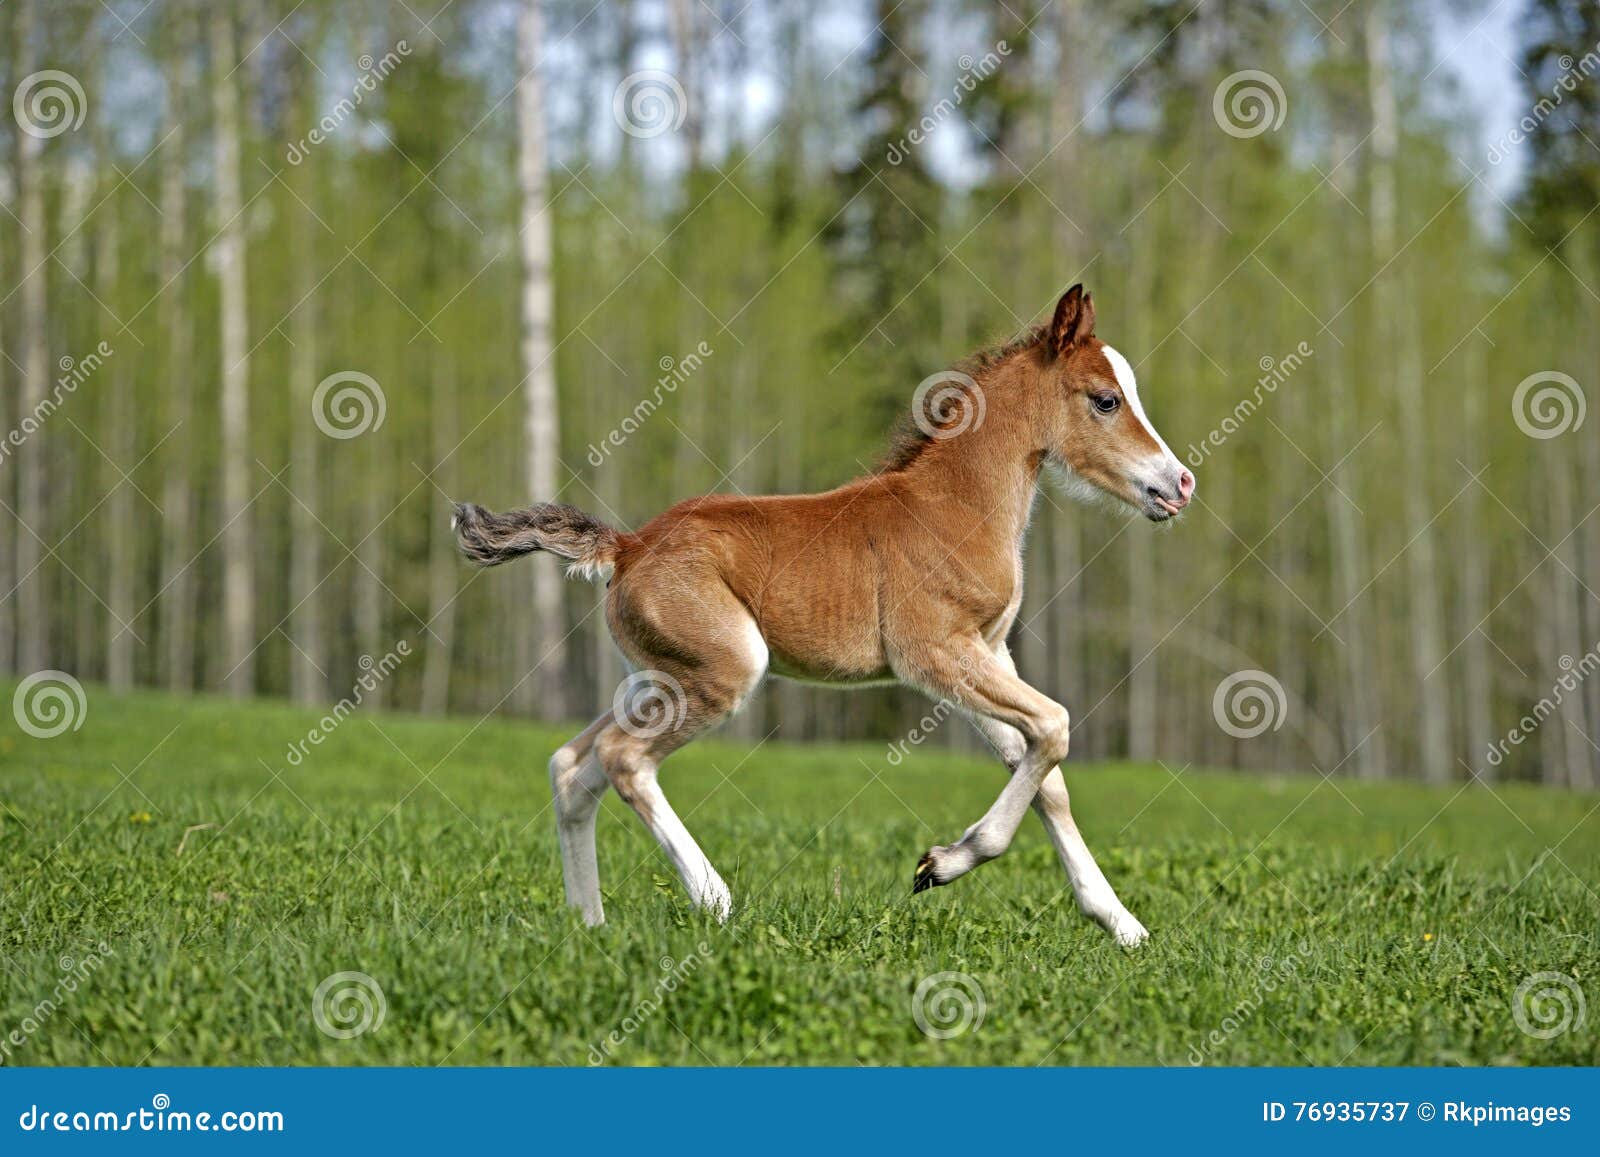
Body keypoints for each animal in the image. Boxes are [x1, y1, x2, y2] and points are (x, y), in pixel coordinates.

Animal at [453, 285, 1194, 946]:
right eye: (1105, 399)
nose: (1179, 483)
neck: (958, 503)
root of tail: (628, 546)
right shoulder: (934, 654)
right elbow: (1055, 726)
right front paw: (941, 864)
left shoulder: (987, 651)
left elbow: (1043, 770)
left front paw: (1122, 925)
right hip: (725, 668)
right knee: (622, 759)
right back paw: (714, 898)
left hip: (653, 678)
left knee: (572, 767)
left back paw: (591, 924)